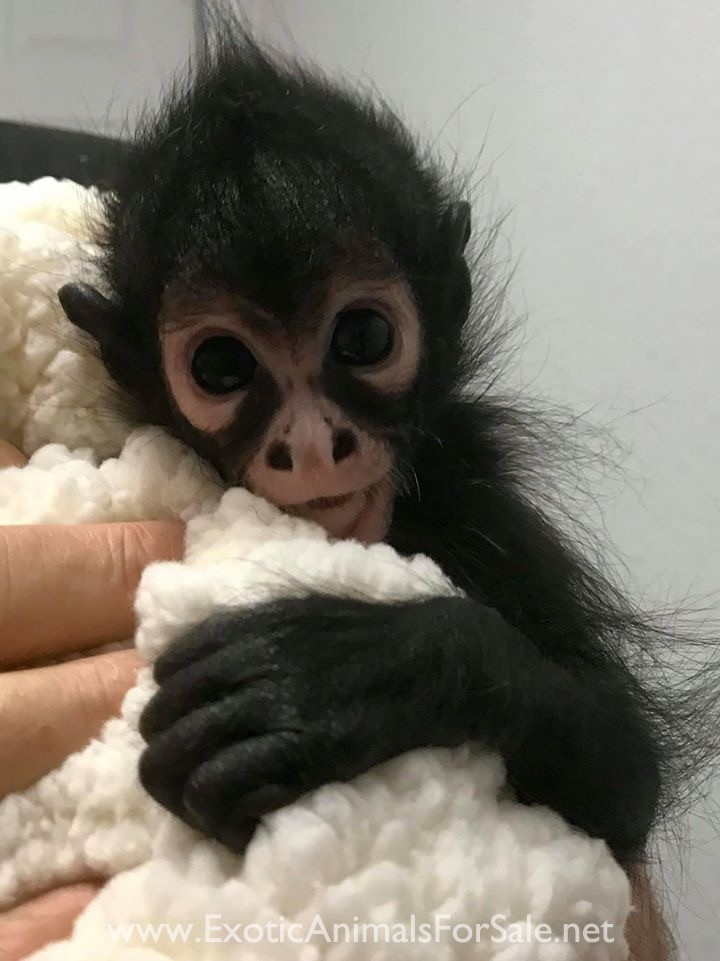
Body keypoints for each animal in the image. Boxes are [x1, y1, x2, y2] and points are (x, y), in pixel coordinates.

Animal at [56, 22, 718, 868]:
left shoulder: (480, 487)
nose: (311, 444)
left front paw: (338, 675)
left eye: (365, 337)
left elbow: (628, 779)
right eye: (221, 367)